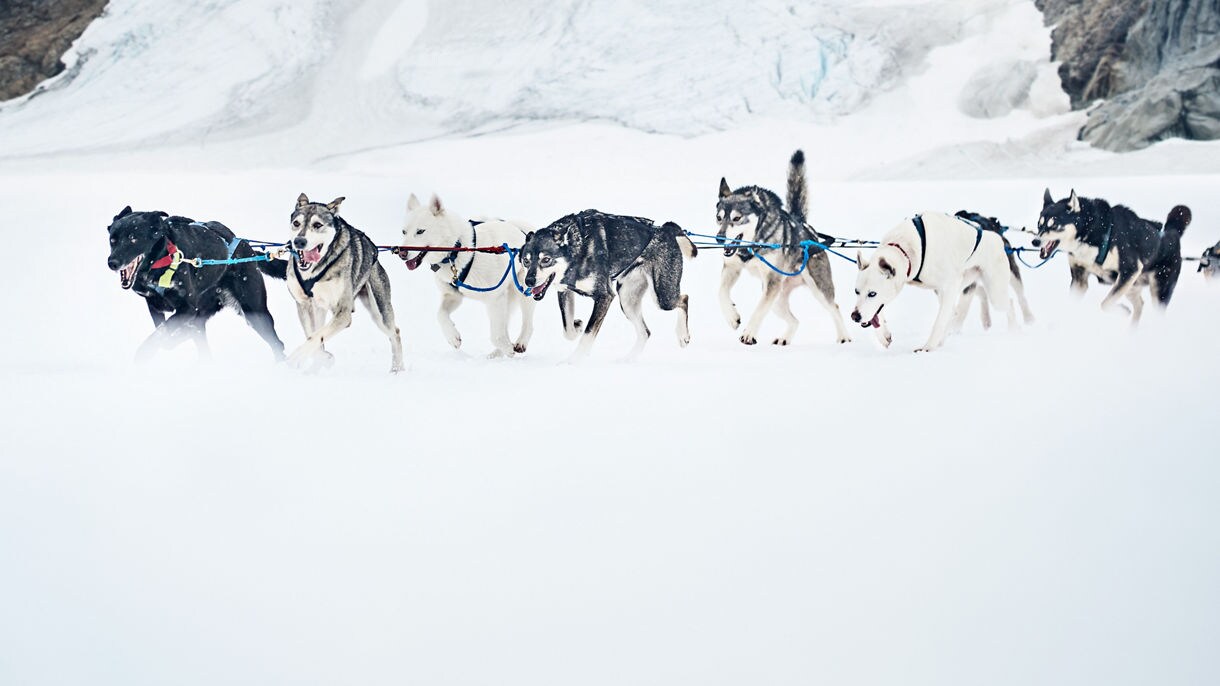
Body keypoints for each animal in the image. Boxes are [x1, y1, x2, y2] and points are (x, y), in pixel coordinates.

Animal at [400, 190, 539, 353]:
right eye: (404, 232)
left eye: (420, 231)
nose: (401, 253)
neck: (456, 251)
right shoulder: (453, 296)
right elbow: (440, 314)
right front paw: (452, 337)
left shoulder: (495, 298)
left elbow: (496, 336)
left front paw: (507, 349)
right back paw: (497, 353)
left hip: (523, 291)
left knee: (528, 324)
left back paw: (519, 343)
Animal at [854, 212, 1015, 351]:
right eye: (856, 291)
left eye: (872, 293)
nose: (854, 316)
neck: (906, 249)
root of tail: (995, 237)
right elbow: (876, 313)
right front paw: (883, 335)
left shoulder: (950, 286)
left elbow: (939, 323)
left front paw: (927, 347)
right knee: (963, 305)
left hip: (995, 295)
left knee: (1009, 302)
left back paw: (1015, 329)